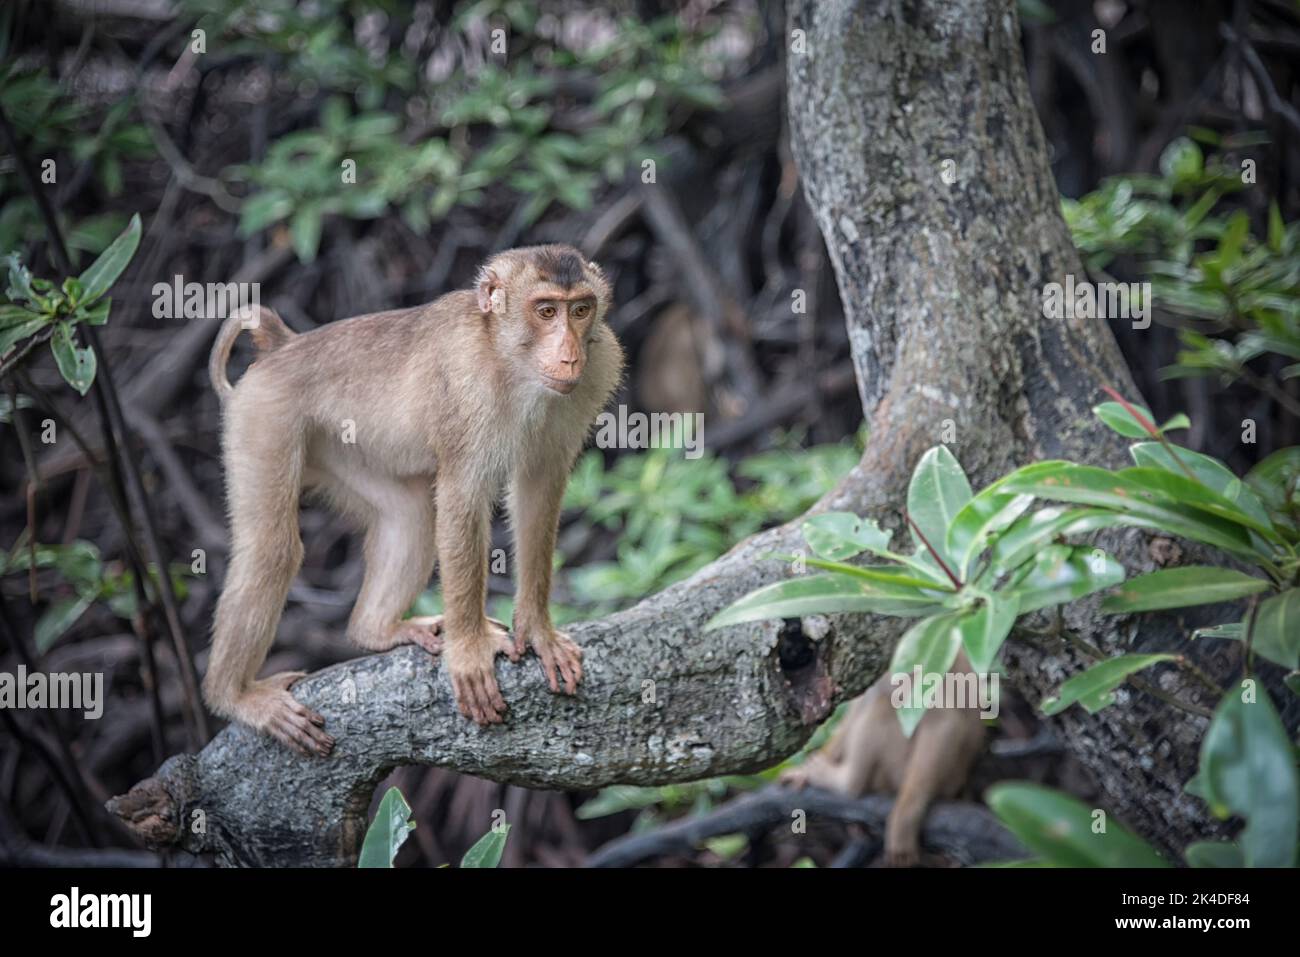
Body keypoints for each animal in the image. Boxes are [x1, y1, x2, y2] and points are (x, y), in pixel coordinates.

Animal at [202, 245, 623, 755]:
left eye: (580, 310)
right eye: (546, 311)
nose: (570, 355)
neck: (506, 357)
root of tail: (285, 345)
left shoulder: (596, 372)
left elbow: (539, 491)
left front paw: (538, 631)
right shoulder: (467, 389)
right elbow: (463, 499)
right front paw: (469, 650)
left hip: (338, 444)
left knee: (410, 516)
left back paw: (375, 631)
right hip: (264, 415)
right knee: (272, 549)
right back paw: (234, 696)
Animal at [781, 652, 986, 867]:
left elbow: (944, 722)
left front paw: (904, 819)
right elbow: (859, 704)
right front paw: (805, 770)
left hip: (901, 770)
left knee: (883, 706)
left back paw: (848, 783)